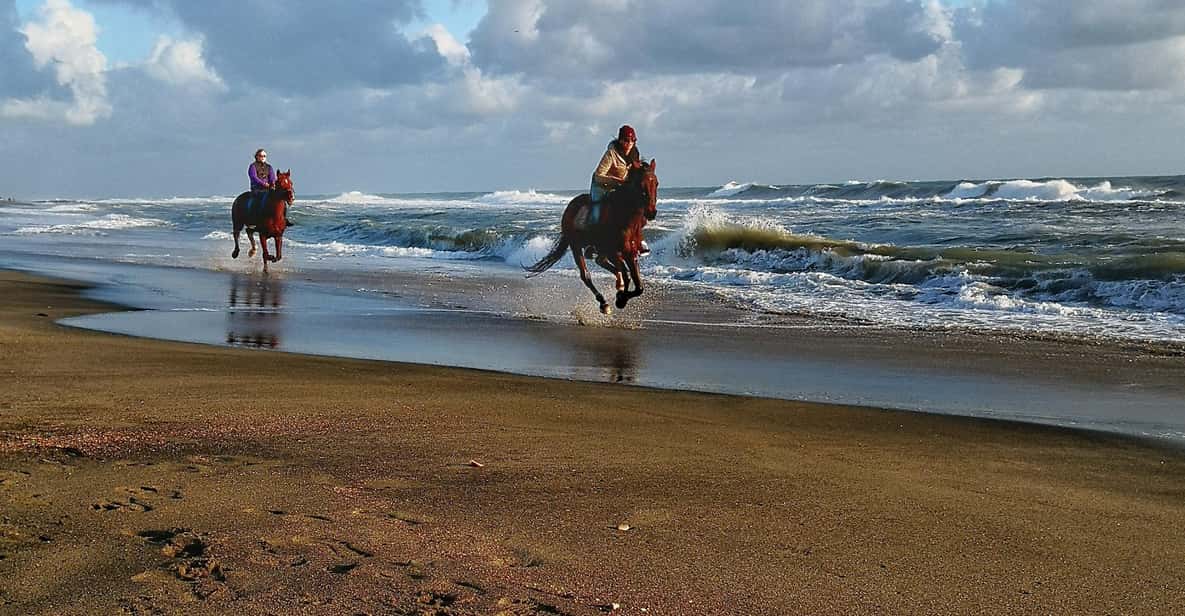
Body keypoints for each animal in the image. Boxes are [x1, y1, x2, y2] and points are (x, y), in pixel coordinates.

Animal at [526, 160, 658, 314]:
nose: (651, 212)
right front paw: (621, 299)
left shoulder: (631, 253)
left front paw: (621, 296)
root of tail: (570, 206)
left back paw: (617, 285)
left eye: (656, 183)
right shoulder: (614, 251)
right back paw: (604, 303)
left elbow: (638, 286)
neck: (625, 218)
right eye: (640, 185)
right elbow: (627, 275)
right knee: (586, 275)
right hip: (576, 246)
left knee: (601, 261)